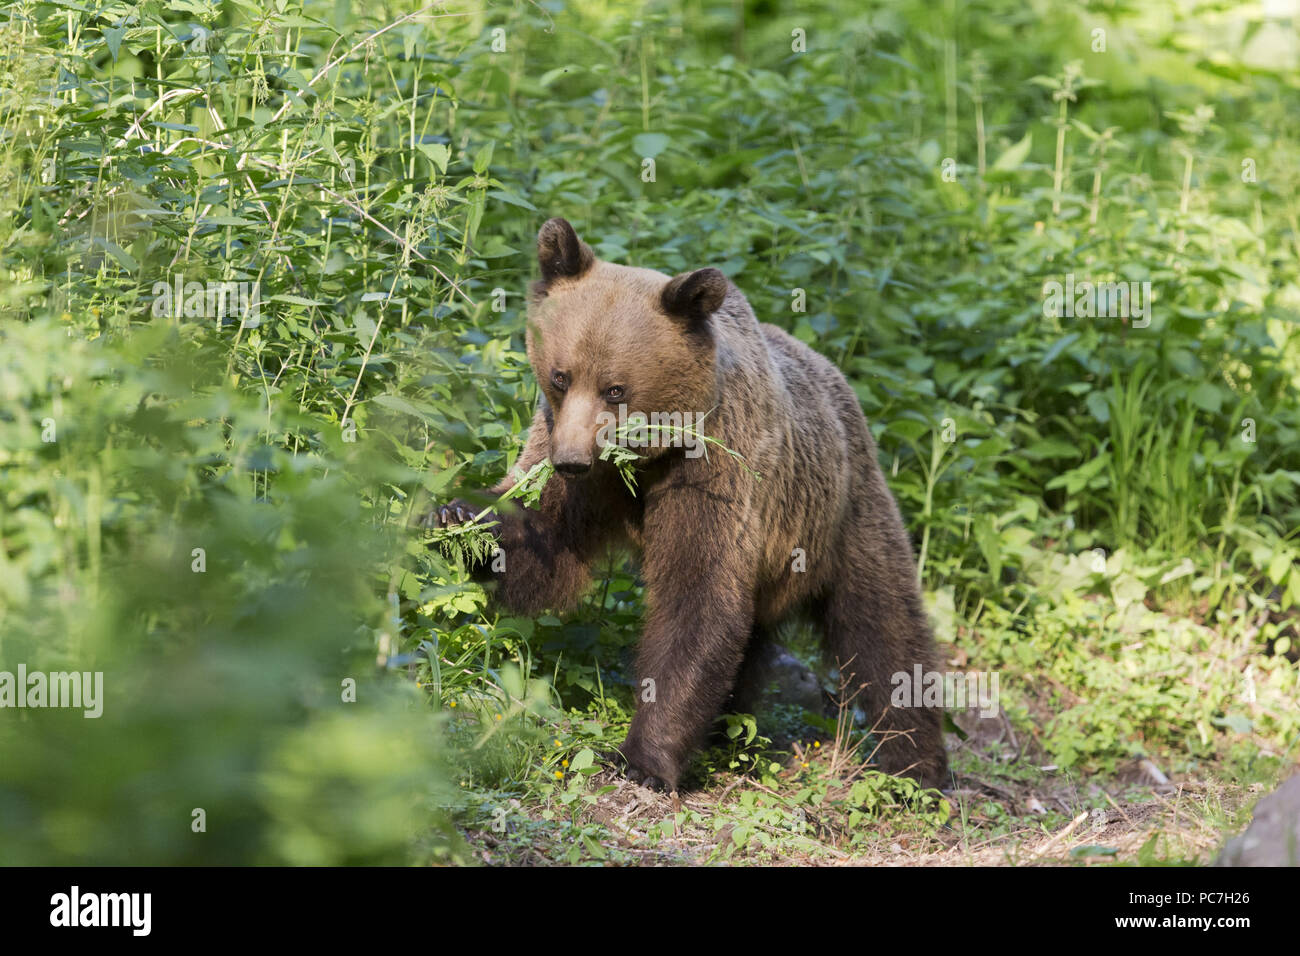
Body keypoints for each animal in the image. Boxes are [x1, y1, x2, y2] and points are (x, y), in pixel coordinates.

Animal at [429, 217, 948, 794]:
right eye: (561, 376)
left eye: (615, 388)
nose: (571, 461)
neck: (645, 458)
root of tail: (840, 379)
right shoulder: (570, 462)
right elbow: (544, 551)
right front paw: (460, 521)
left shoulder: (713, 471)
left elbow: (696, 595)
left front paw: (642, 758)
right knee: (754, 643)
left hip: (842, 514)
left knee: (886, 628)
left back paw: (918, 767)